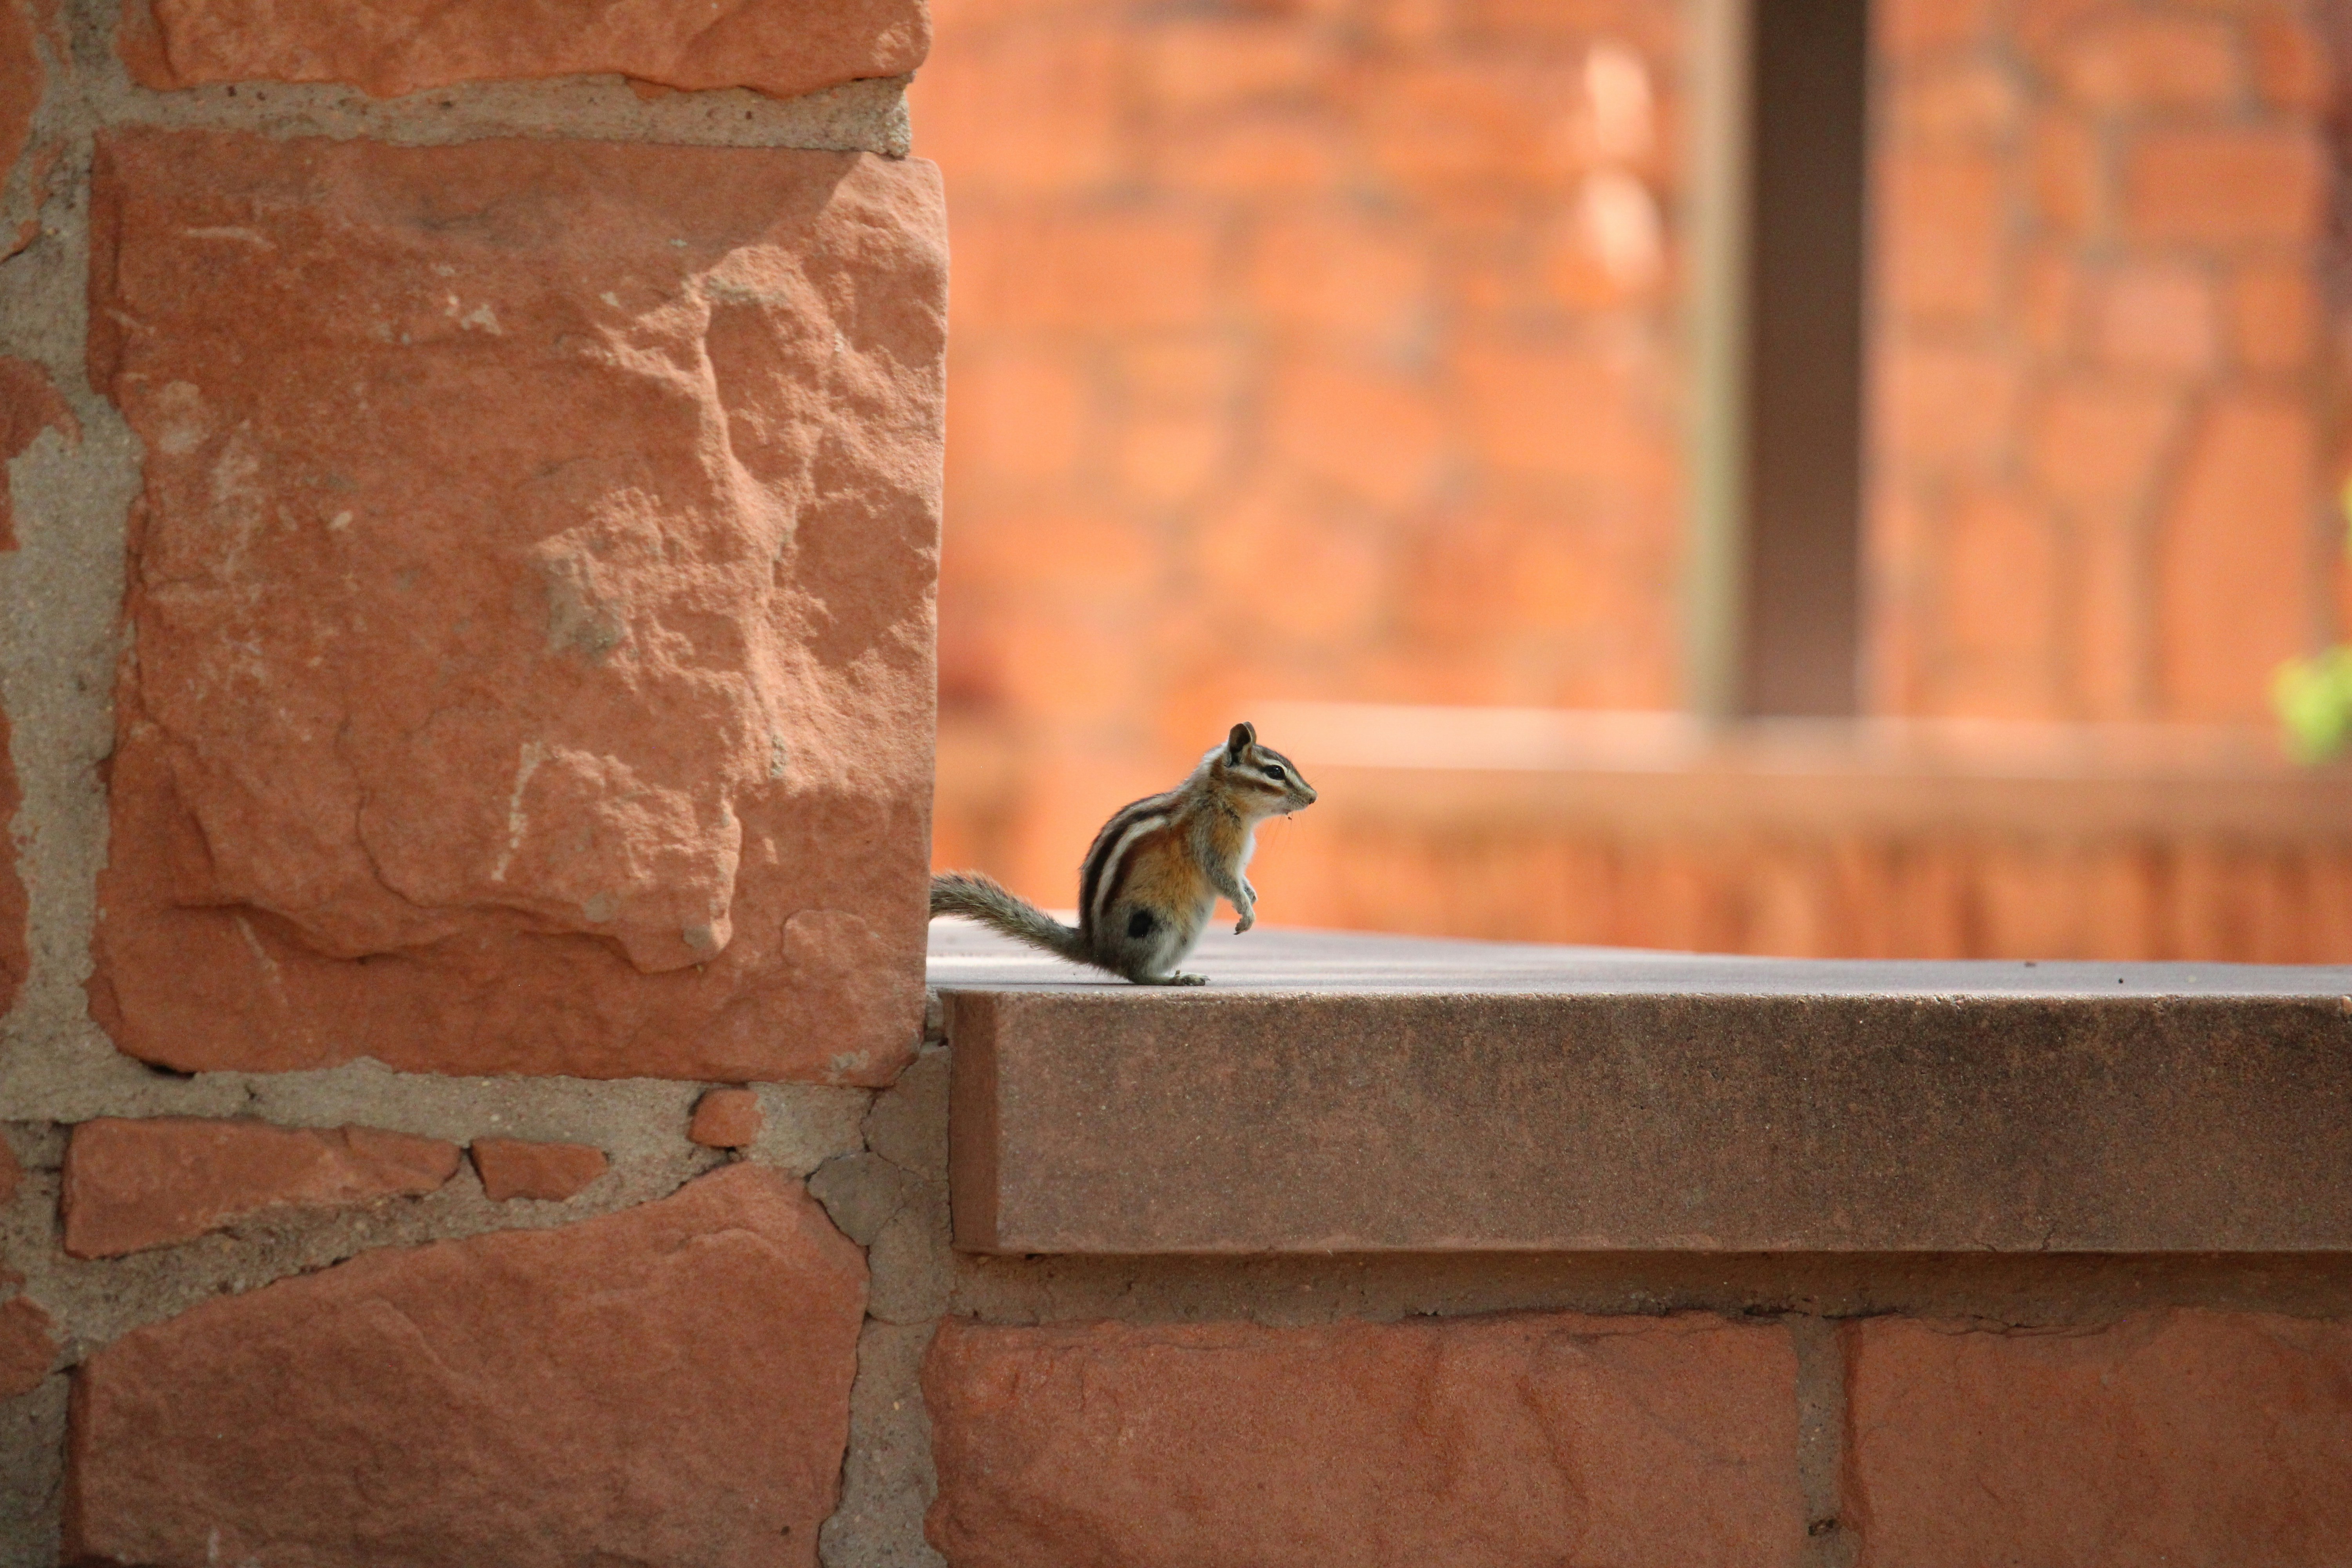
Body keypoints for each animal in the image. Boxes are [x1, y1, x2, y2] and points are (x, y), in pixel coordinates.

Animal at [930, 721, 1317, 985]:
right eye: (1275, 772)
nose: (1313, 797)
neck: (1218, 799)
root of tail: (1096, 949)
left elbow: (1240, 881)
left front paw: (1252, 894)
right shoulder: (1214, 844)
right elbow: (1225, 881)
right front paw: (1246, 912)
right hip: (1156, 924)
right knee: (1135, 973)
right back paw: (1174, 979)